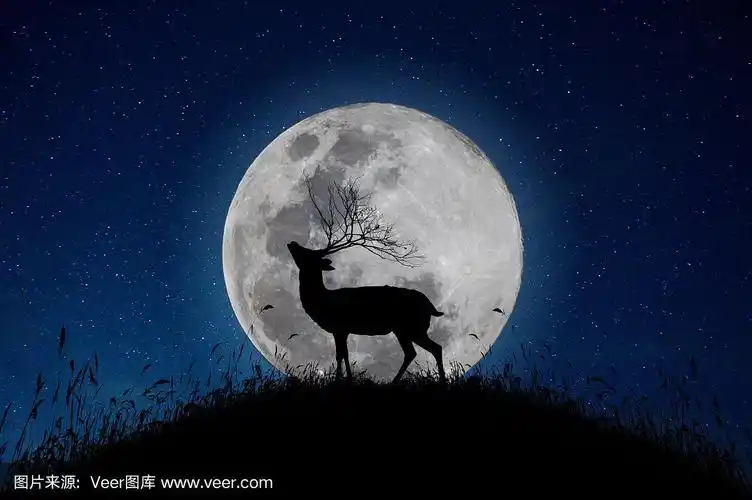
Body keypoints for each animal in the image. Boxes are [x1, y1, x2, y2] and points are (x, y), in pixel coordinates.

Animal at [287, 173, 447, 384]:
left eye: (309, 254)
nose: (292, 242)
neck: (322, 302)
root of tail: (431, 306)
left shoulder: (340, 326)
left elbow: (341, 355)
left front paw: (342, 380)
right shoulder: (342, 330)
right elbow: (343, 355)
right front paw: (346, 379)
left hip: (410, 326)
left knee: (425, 349)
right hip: (407, 328)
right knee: (425, 350)